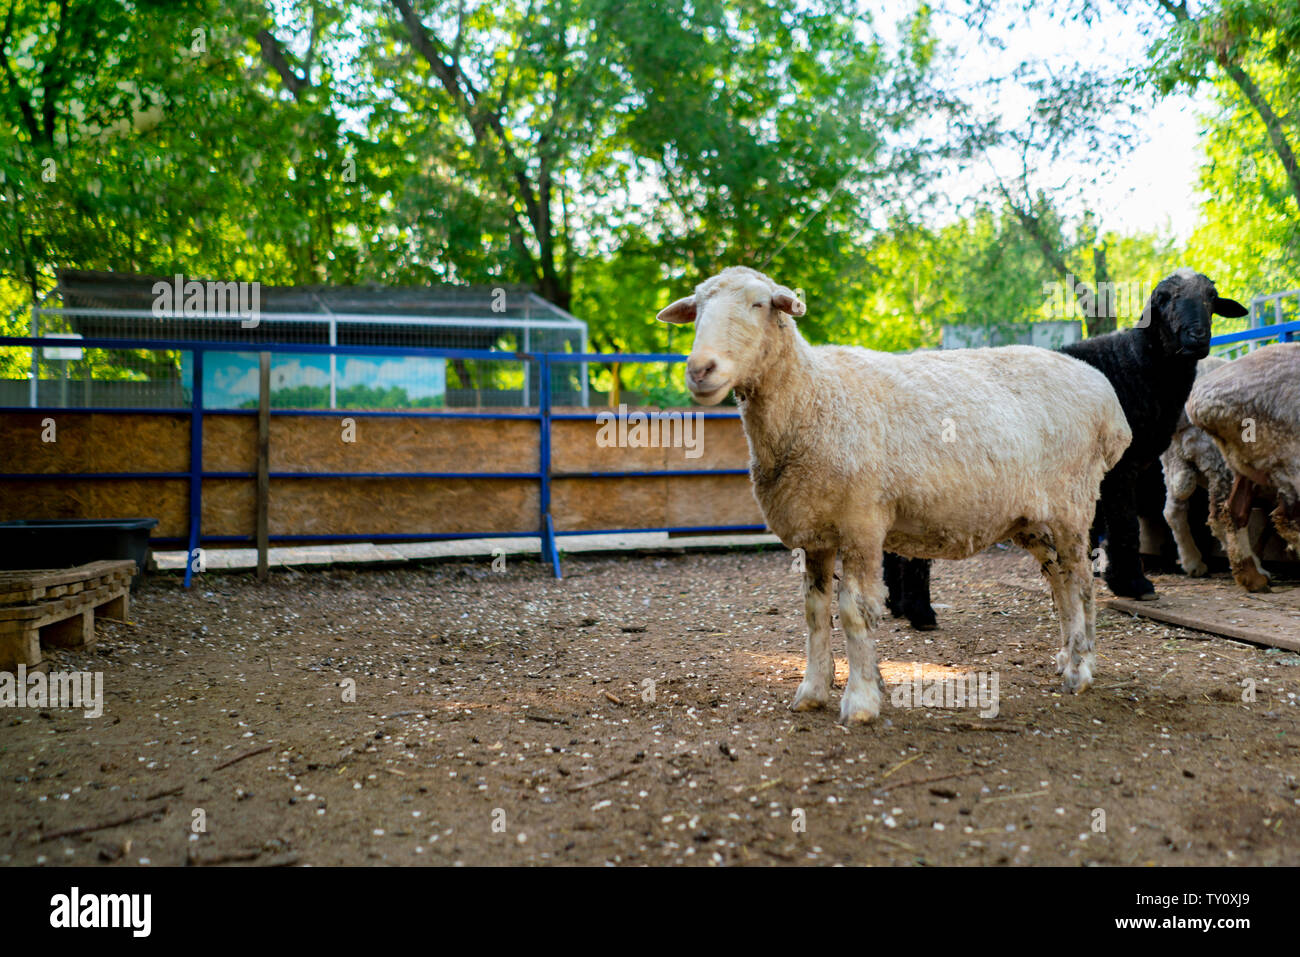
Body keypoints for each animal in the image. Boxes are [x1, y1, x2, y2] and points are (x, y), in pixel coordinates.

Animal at [657, 266, 1131, 724]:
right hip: (1030, 519)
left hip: (1073, 502)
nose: (700, 370)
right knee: (1060, 579)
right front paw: (812, 692)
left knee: (1082, 582)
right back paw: (1069, 657)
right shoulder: (815, 533)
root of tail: (1108, 401)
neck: (812, 395)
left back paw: (1080, 669)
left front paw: (861, 701)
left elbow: (854, 611)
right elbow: (814, 613)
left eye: (758, 304)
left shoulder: (862, 523)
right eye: (696, 310)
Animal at [1160, 355, 1270, 585]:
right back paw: (1252, 568)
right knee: (1224, 516)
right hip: (1221, 464)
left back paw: (1193, 562)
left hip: (1173, 459)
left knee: (1173, 511)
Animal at [1186, 341, 1300, 592]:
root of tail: (1202, 405)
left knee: (1234, 512)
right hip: (1282, 454)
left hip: (1243, 463)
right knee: (1286, 519)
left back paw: (1250, 576)